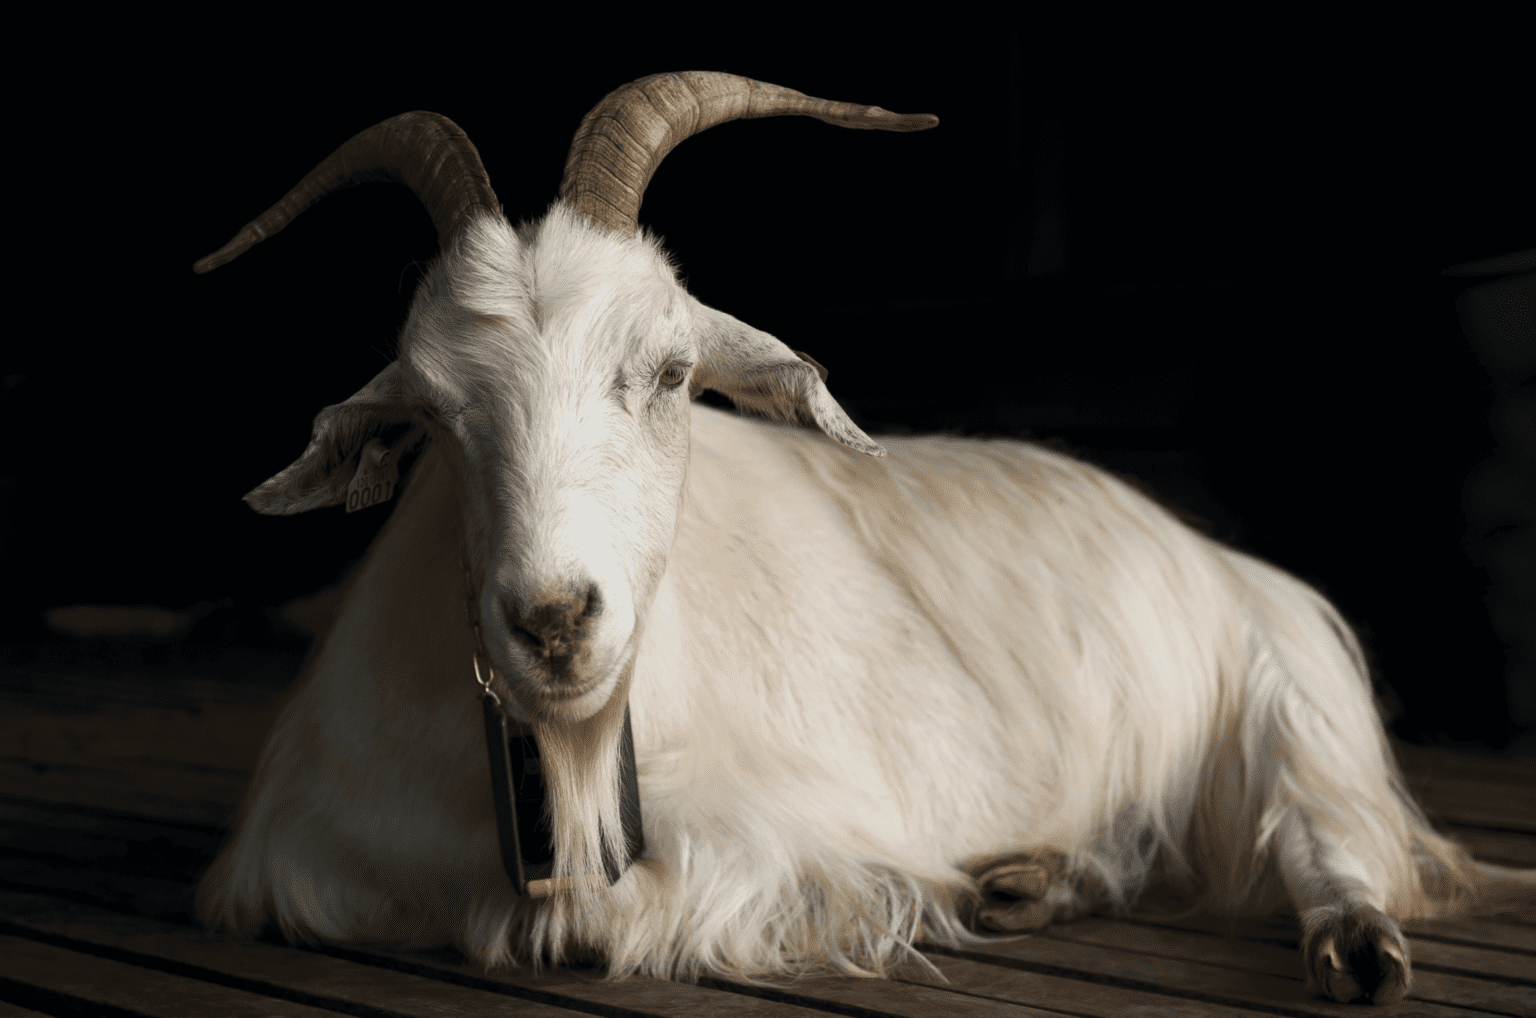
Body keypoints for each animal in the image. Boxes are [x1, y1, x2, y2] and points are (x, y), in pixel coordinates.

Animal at [193, 72, 1524, 1005]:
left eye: (670, 372)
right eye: (434, 415)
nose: (554, 620)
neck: (567, 760)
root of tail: (1191, 539)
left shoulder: (793, 842)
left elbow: (626, 915)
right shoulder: (308, 863)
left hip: (1286, 697)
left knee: (1323, 833)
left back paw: (1355, 943)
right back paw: (1032, 881)